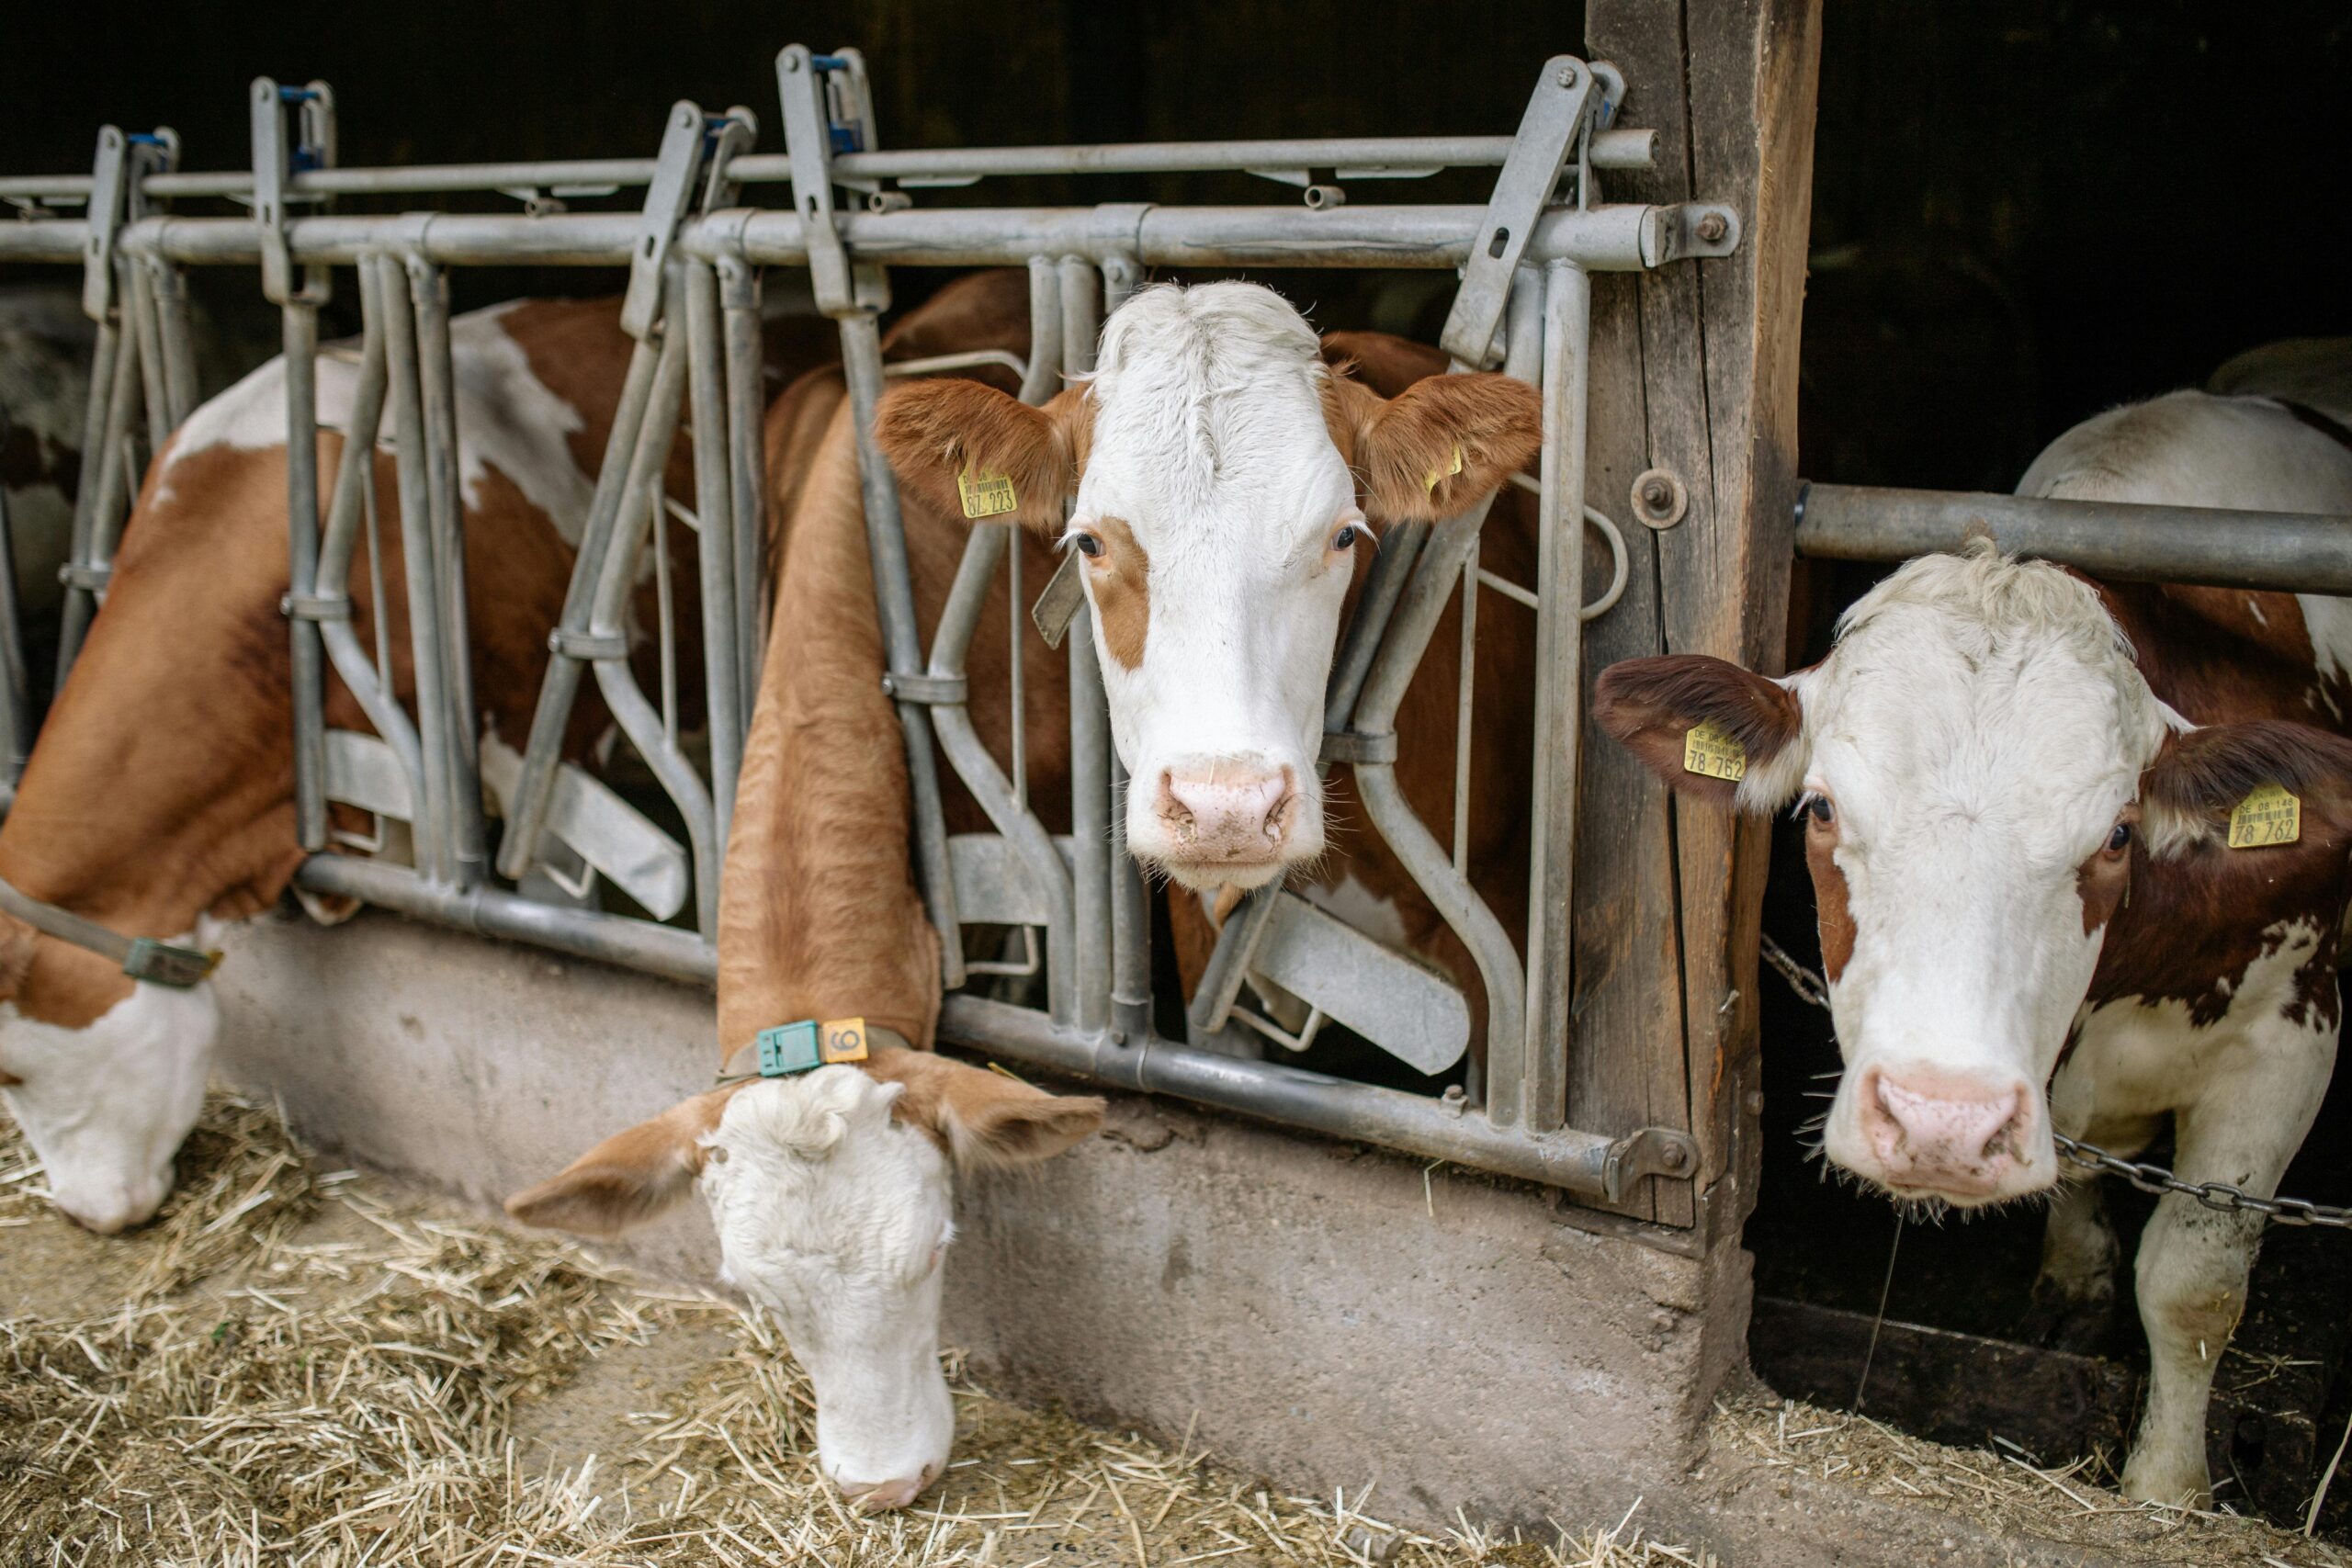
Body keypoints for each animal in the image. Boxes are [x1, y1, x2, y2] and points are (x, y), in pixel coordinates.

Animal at [1593, 382, 2352, 1504]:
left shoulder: (2288, 1033)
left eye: (2117, 832)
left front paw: (2165, 1493)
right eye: (1820, 808)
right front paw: (2074, 1286)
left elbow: (2194, 1281)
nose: (1940, 1122)